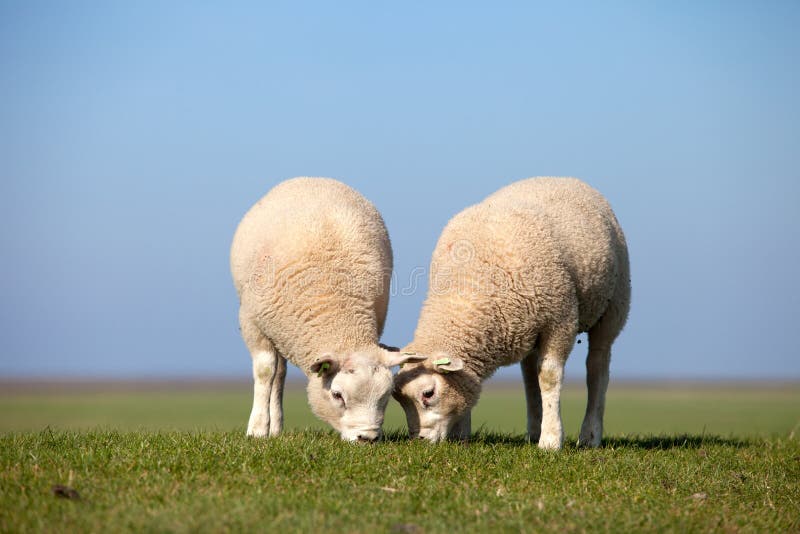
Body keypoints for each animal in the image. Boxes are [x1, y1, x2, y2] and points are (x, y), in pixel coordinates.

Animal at [230, 177, 420, 442]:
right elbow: (265, 371)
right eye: (337, 395)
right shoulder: (252, 322)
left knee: (281, 375)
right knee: (276, 373)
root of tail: (311, 179)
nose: (367, 439)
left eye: (385, 397)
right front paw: (257, 430)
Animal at [393, 177, 630, 449]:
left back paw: (589, 435)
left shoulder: (560, 321)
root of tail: (562, 178)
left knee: (597, 368)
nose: (418, 442)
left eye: (428, 394)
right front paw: (461, 435)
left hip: (613, 307)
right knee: (529, 376)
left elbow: (549, 376)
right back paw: (534, 429)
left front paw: (551, 440)